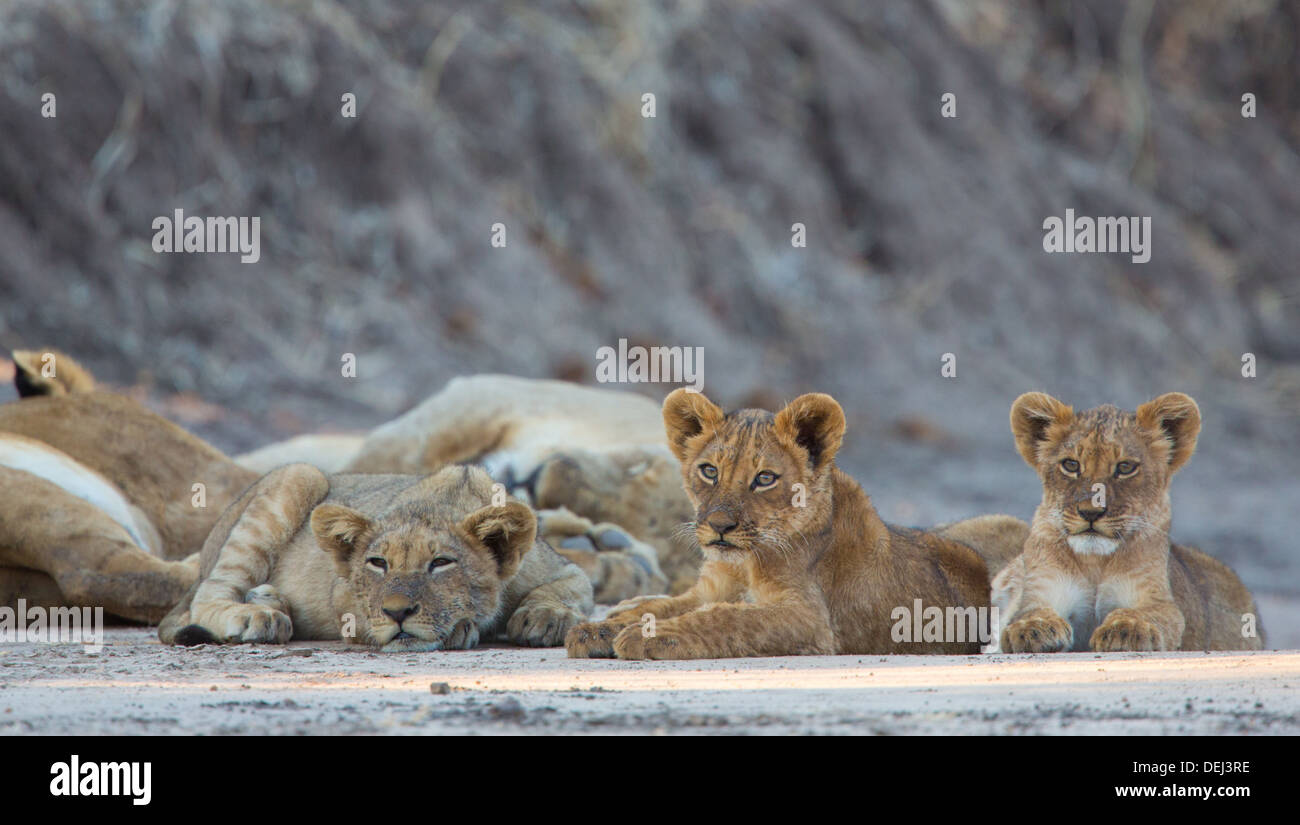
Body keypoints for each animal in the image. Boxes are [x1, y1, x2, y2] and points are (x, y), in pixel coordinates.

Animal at [159, 463, 593, 650]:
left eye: (441, 563)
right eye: (378, 563)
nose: (398, 613)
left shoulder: (558, 566)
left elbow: (570, 588)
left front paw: (544, 617)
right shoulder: (343, 593)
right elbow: (360, 611)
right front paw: (458, 629)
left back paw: (269, 599)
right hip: (299, 475)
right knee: (207, 597)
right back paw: (258, 614)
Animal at [565, 389, 1029, 659]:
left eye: (764, 478)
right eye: (709, 471)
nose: (719, 526)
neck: (744, 563)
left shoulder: (810, 619)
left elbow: (725, 619)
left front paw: (643, 637)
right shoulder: (709, 589)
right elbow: (663, 605)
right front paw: (597, 629)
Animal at [991, 391, 1262, 653]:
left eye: (1125, 467)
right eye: (1071, 465)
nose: (1090, 512)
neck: (1095, 563)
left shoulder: (1161, 603)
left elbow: (1145, 614)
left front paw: (1126, 628)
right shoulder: (1041, 591)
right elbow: (1029, 612)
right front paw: (1032, 628)